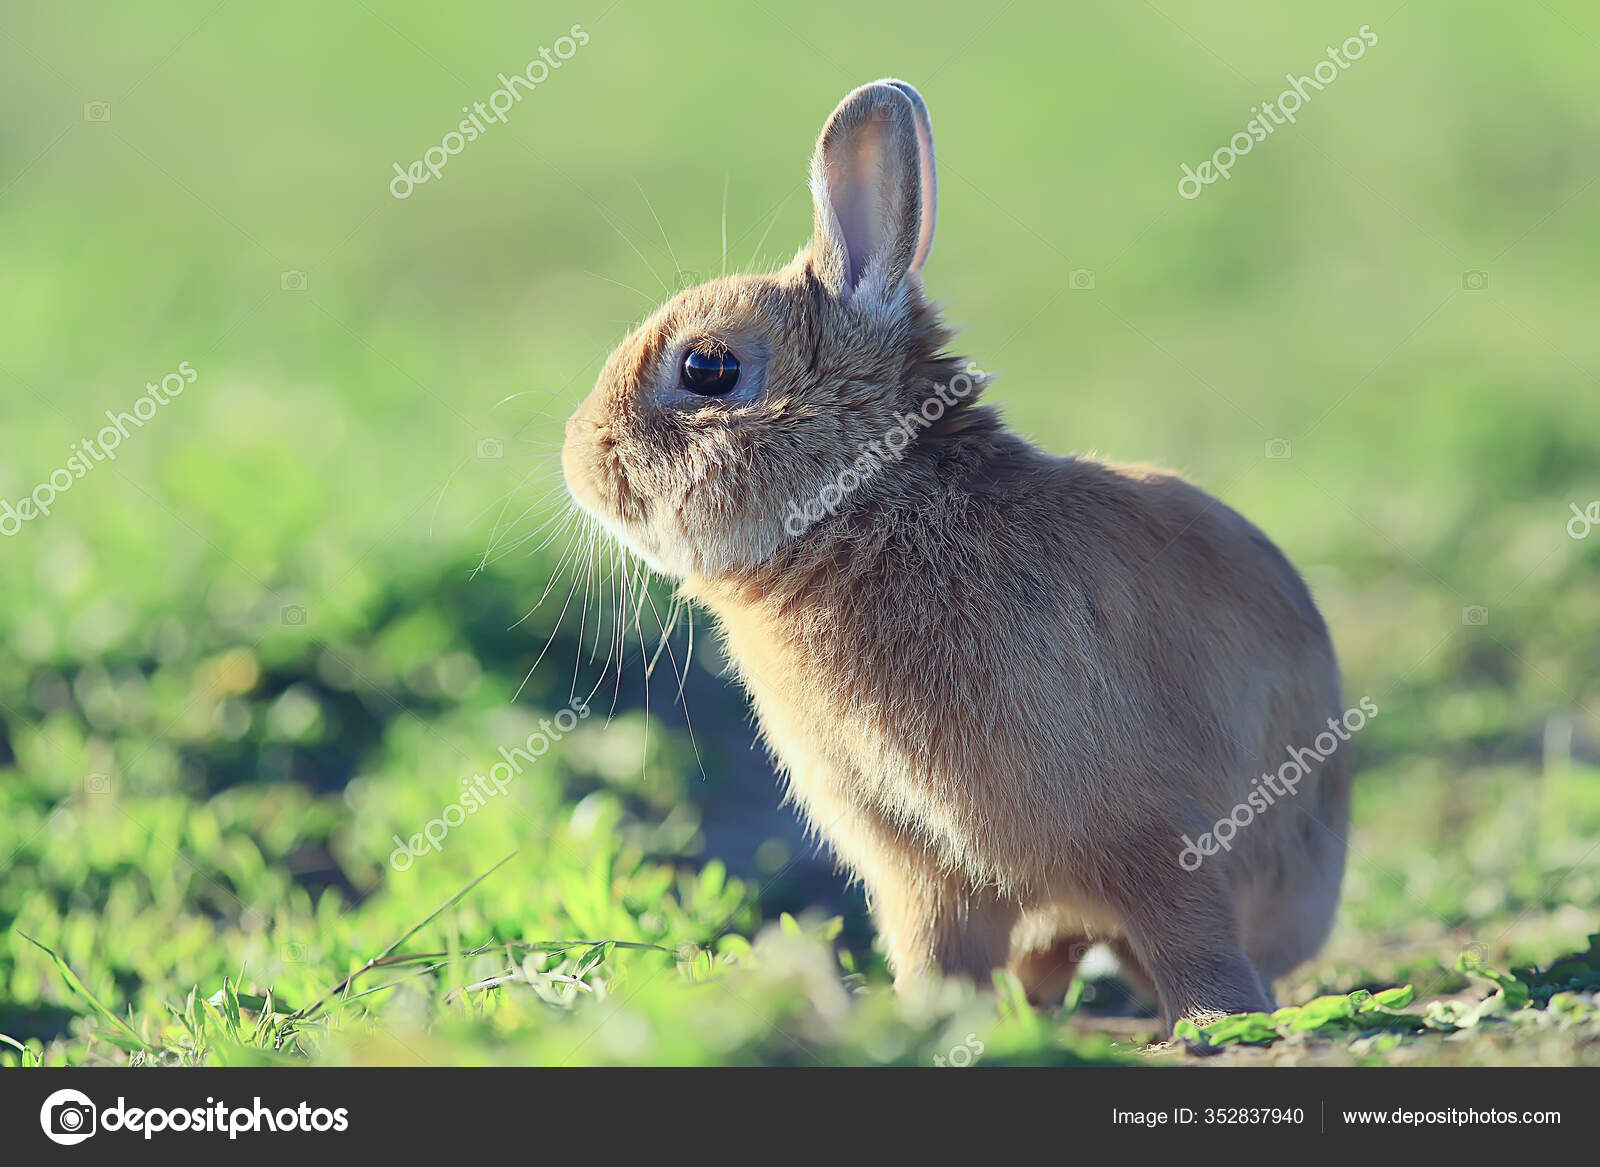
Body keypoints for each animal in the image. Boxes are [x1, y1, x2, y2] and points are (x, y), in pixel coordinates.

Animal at [561, 78, 1352, 1034]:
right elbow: (939, 948)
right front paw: (919, 1019)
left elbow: (1186, 925)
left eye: (708, 369)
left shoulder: (1154, 830)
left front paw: (1218, 1023)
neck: (867, 513)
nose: (577, 457)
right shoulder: (917, 862)